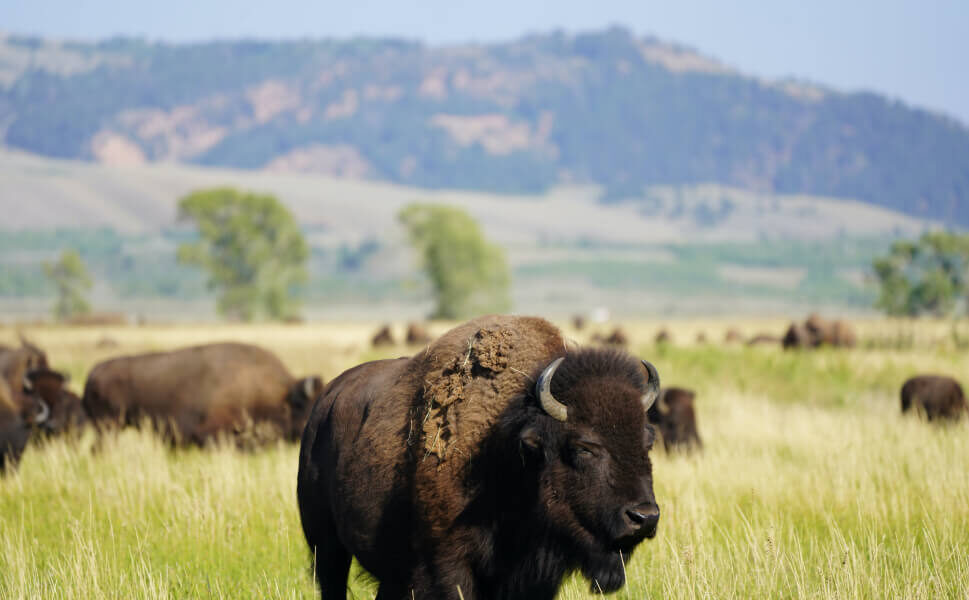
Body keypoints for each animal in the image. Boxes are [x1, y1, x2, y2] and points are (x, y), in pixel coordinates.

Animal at [298, 315, 662, 598]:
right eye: (583, 447)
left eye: (647, 439)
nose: (644, 517)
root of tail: (324, 404)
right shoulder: (447, 567)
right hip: (326, 548)